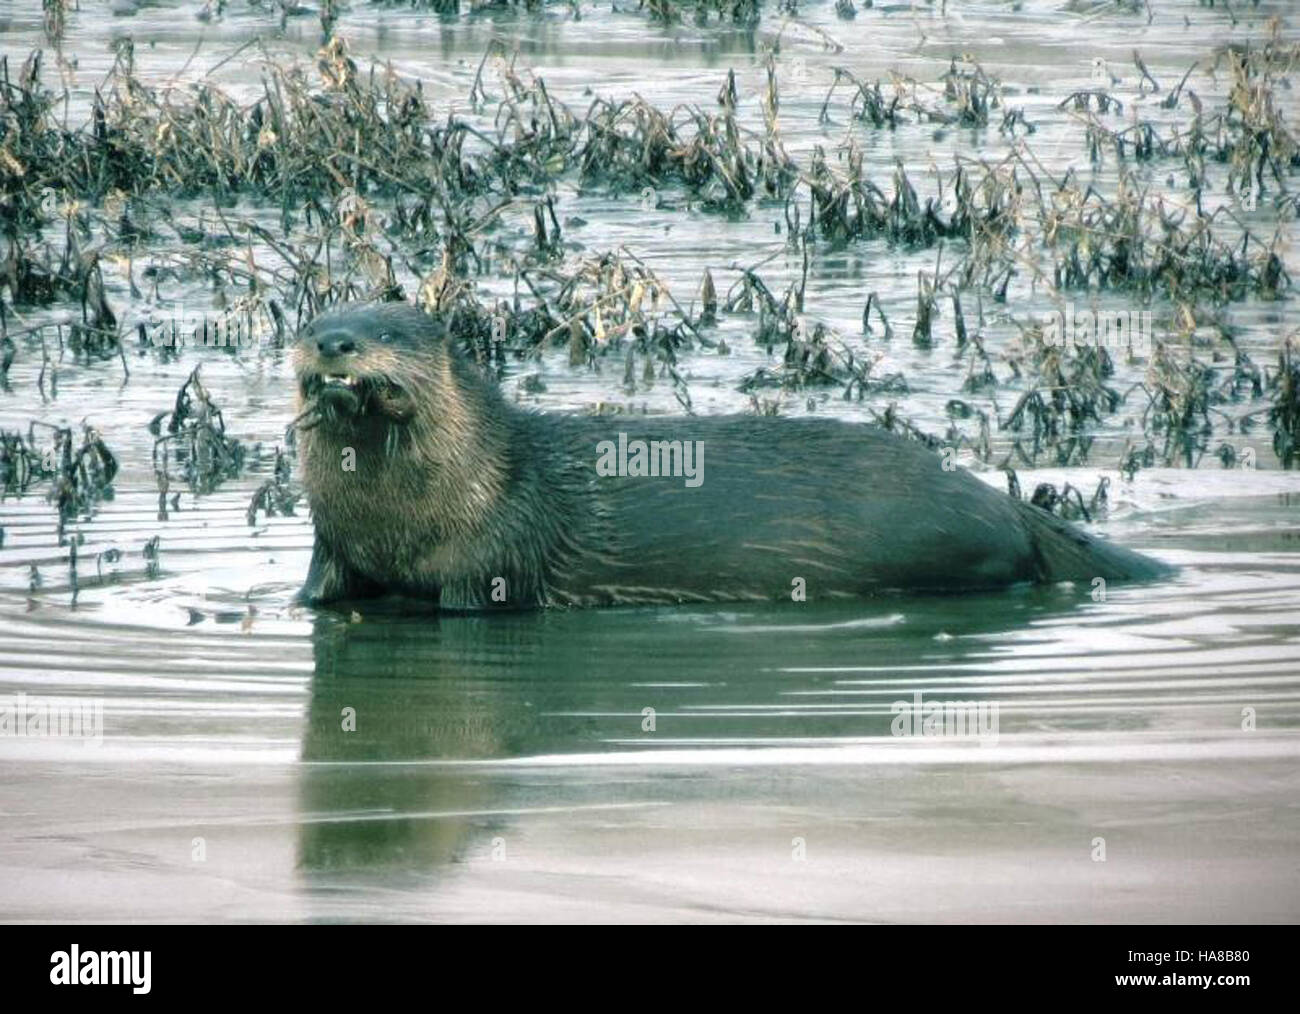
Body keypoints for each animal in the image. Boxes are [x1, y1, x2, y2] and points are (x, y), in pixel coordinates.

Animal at [292, 304, 1169, 609]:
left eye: (388, 330)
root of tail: (1002, 500)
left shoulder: (496, 556)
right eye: (314, 319)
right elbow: (320, 593)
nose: (336, 345)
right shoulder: (333, 544)